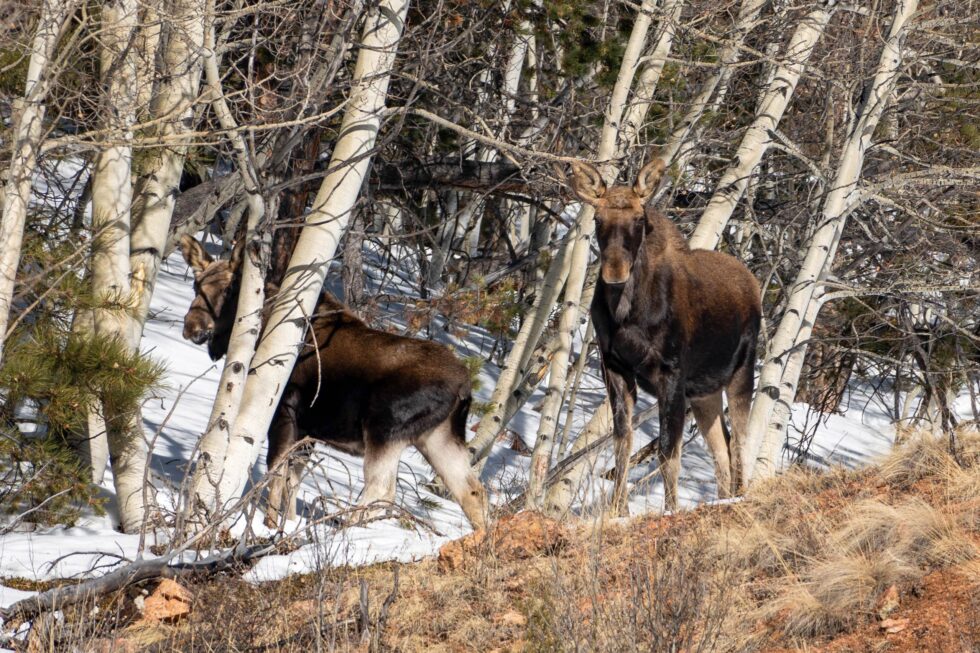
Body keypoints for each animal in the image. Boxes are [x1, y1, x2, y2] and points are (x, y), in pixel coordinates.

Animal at [178, 235, 488, 530]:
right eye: (195, 285)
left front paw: (269, 525)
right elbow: (293, 479)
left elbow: (277, 469)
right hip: (437, 437)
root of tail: (464, 387)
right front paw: (286, 524)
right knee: (472, 491)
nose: (191, 328)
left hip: (385, 431)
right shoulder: (309, 431)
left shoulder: (286, 412)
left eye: (231, 290)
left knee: (381, 490)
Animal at [568, 158, 761, 514]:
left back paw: (739, 496)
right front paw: (618, 511)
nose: (614, 272)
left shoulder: (670, 372)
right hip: (703, 391)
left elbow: (668, 452)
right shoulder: (614, 367)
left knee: (740, 440)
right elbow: (623, 442)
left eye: (639, 219)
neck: (626, 313)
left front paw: (670, 510)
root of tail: (752, 282)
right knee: (722, 447)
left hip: (741, 371)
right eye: (597, 218)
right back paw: (723, 497)